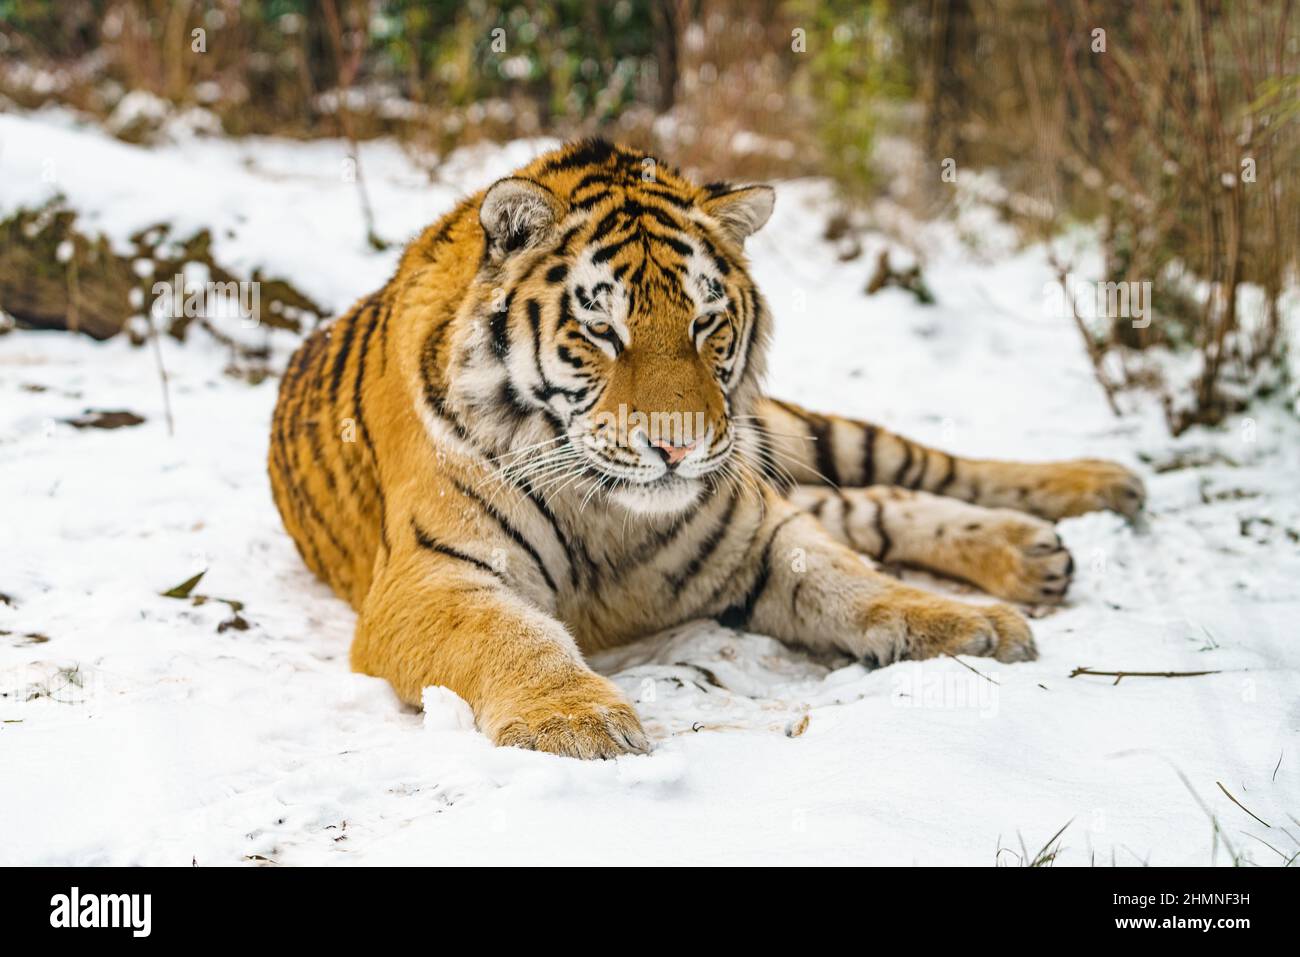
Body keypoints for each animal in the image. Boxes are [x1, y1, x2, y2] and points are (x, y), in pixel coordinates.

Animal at [269, 138, 1145, 759]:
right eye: (602, 329)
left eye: (705, 321)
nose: (679, 448)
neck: (607, 513)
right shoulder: (430, 578)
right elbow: (511, 635)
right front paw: (577, 718)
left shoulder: (758, 528)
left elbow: (856, 581)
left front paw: (963, 620)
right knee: (874, 504)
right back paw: (1036, 551)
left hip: (787, 434)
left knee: (914, 470)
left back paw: (1097, 487)